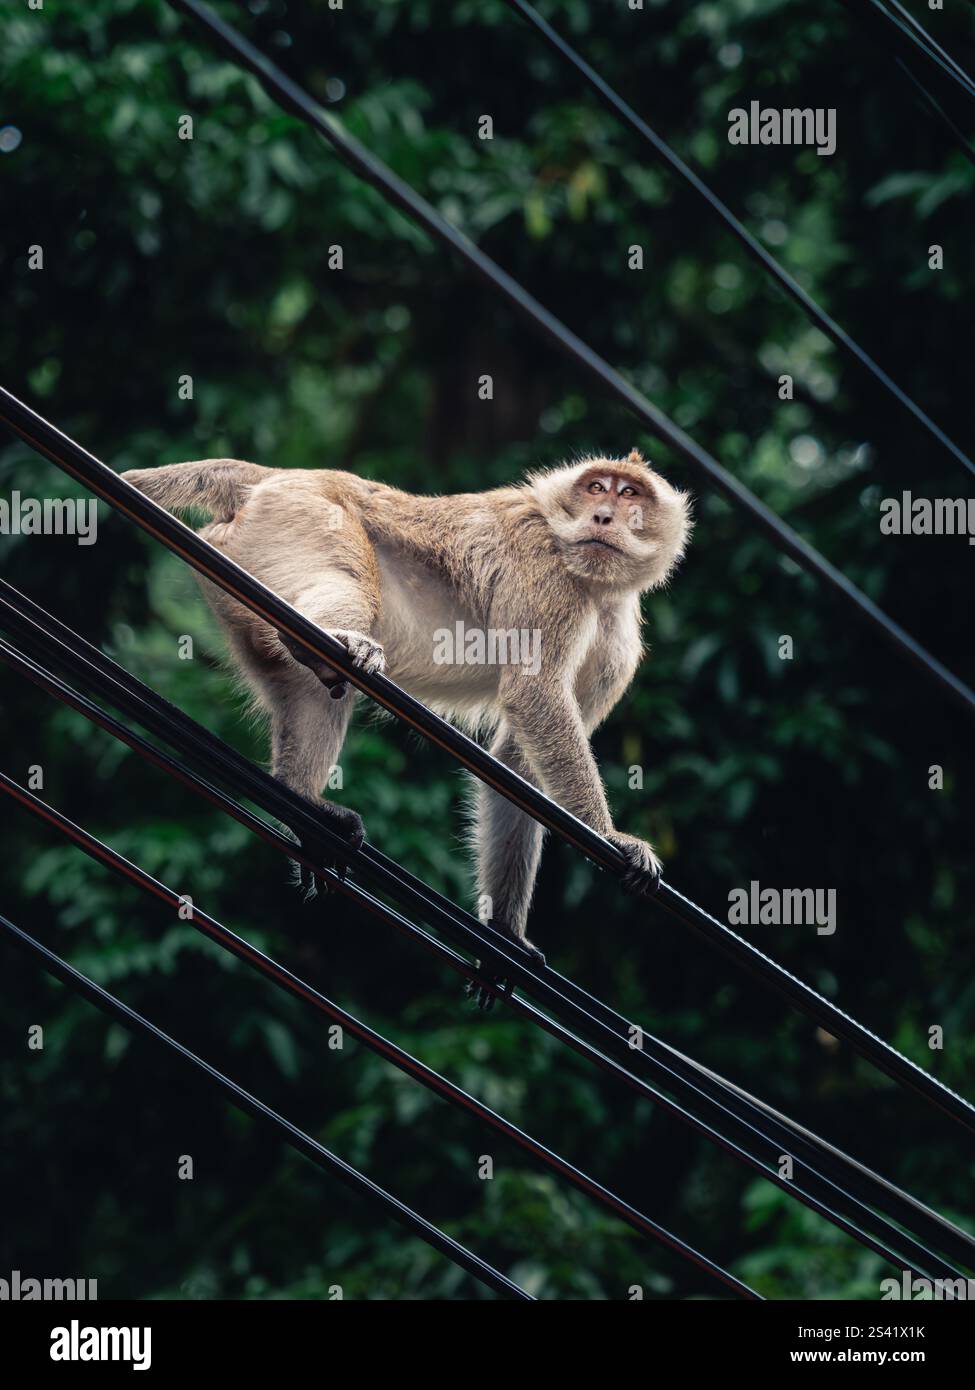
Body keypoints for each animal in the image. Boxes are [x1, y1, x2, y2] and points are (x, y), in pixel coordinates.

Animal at [121, 450, 692, 962]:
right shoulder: (546, 576)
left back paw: (302, 801)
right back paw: (332, 644)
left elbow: (517, 763)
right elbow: (534, 695)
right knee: (350, 580)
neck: (591, 581)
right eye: (596, 488)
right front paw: (612, 837)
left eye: (630, 493)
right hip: (306, 518)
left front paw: (505, 935)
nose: (603, 516)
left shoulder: (617, 643)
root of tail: (281, 475)